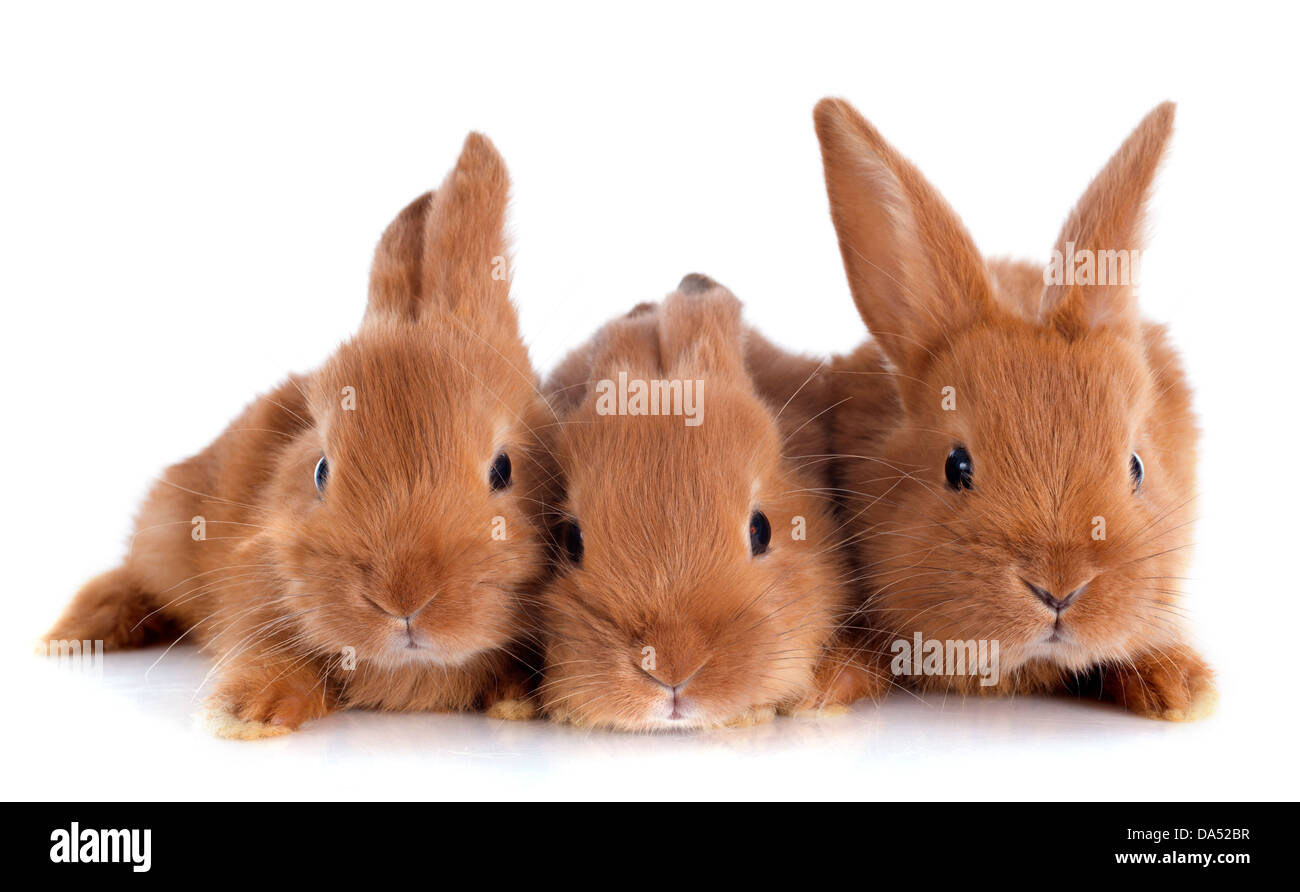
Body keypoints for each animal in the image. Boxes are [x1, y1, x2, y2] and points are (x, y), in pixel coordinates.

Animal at [45, 133, 552, 737]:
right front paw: (244, 714)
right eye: (320, 470)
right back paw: (72, 633)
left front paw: (517, 699)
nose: (401, 599)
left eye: (503, 469)